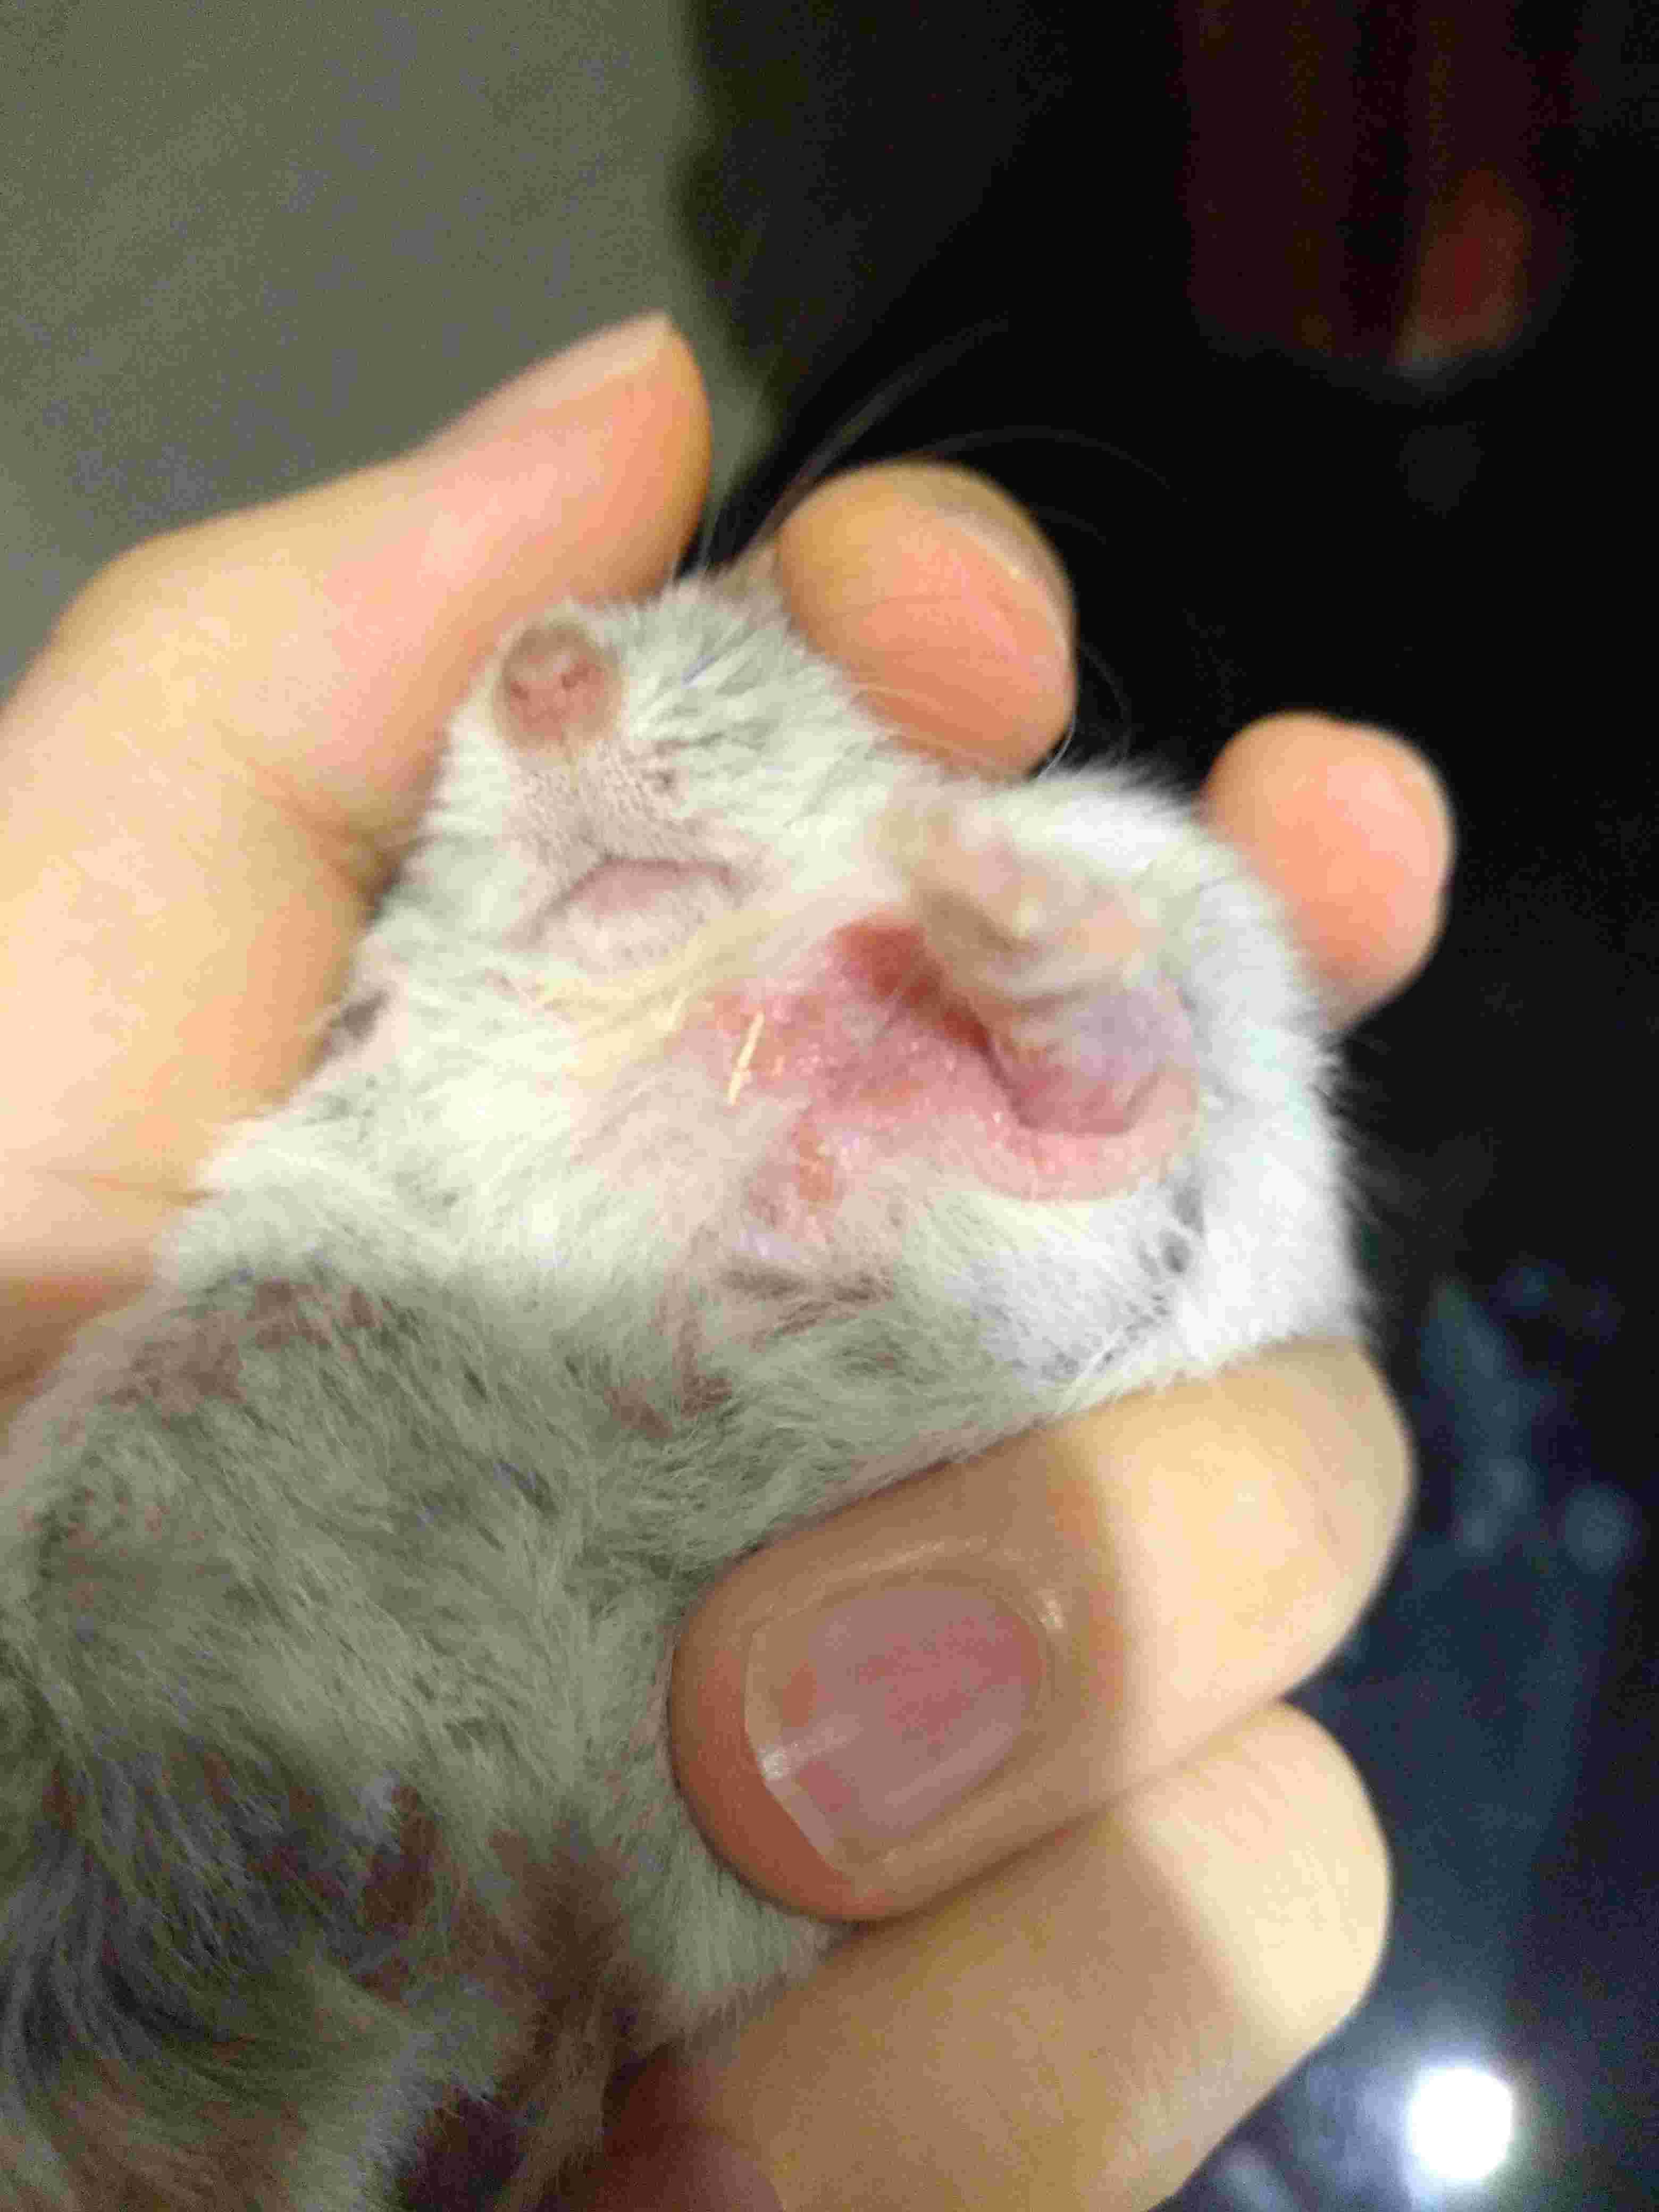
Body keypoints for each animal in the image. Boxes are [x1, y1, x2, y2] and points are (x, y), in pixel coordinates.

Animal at [0, 566, 1356, 2209]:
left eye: (735, 602)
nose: (542, 670)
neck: (660, 986)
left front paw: (961, 891)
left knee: (1095, 1097)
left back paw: (1001, 930)